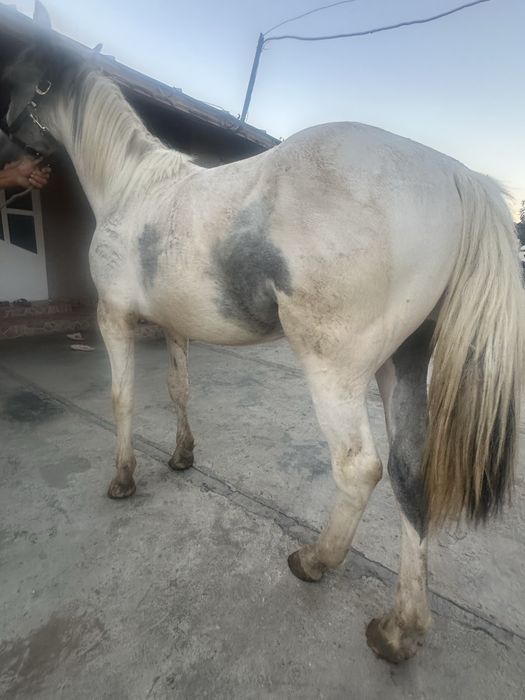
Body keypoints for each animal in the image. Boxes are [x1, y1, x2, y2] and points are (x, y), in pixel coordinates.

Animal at [3, 5, 523, 663]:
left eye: (20, 75)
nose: (9, 147)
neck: (133, 187)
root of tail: (456, 174)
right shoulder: (174, 327)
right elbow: (178, 391)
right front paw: (182, 456)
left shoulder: (113, 318)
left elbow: (122, 399)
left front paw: (123, 479)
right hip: (403, 366)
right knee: (410, 474)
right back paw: (400, 629)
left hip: (335, 370)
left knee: (359, 468)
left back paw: (316, 560)